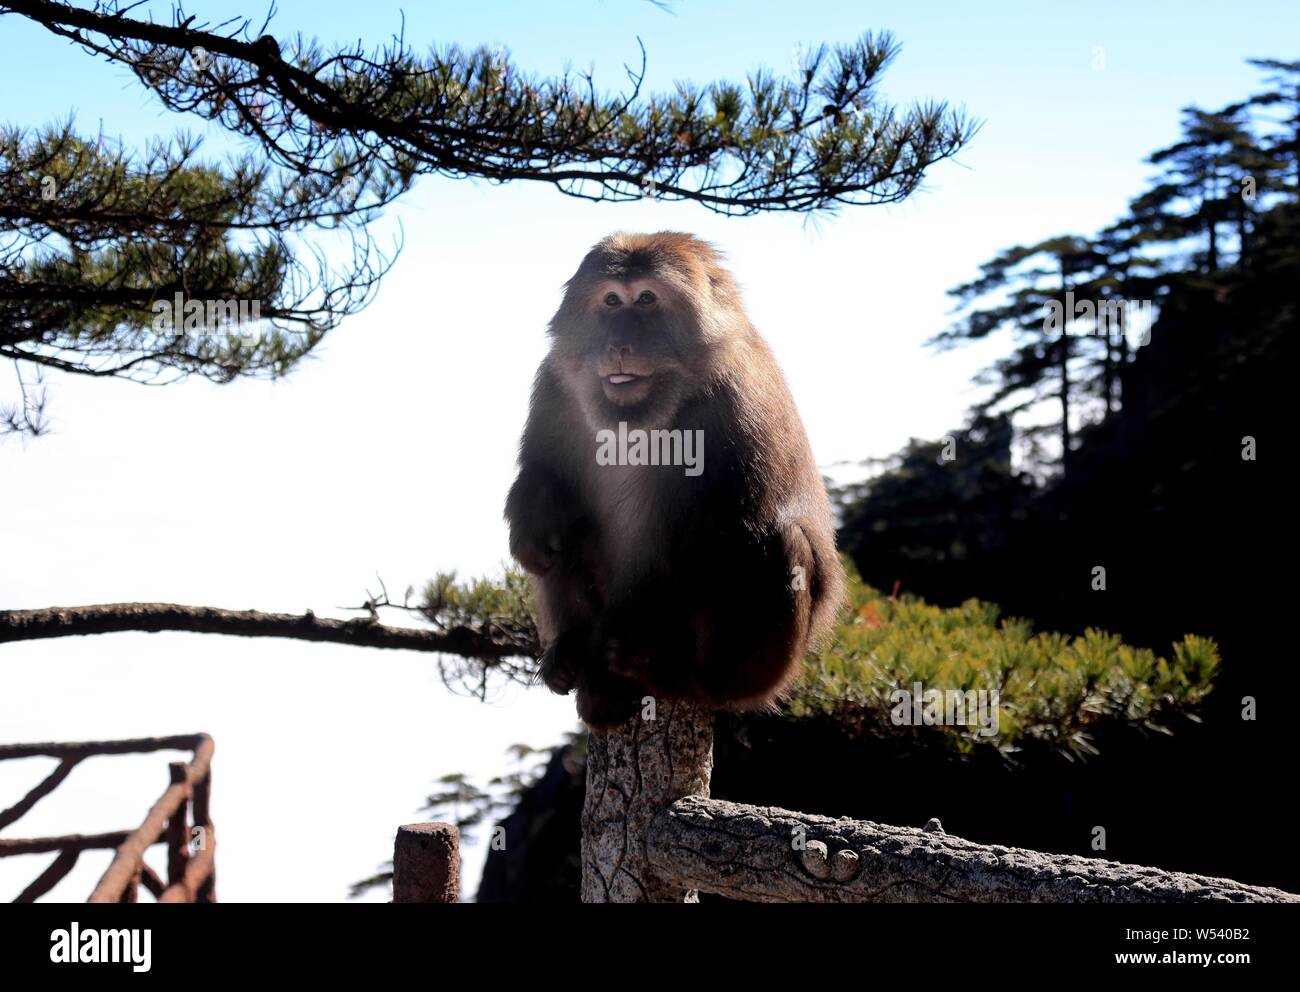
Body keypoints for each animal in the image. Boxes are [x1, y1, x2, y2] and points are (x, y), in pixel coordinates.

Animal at [505, 231, 844, 728]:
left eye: (647, 299)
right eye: (612, 300)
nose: (618, 343)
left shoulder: (733, 406)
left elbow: (708, 540)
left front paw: (605, 687)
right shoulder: (553, 383)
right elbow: (544, 475)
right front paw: (531, 521)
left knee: (784, 543)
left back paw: (688, 679)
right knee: (568, 534)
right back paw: (567, 651)